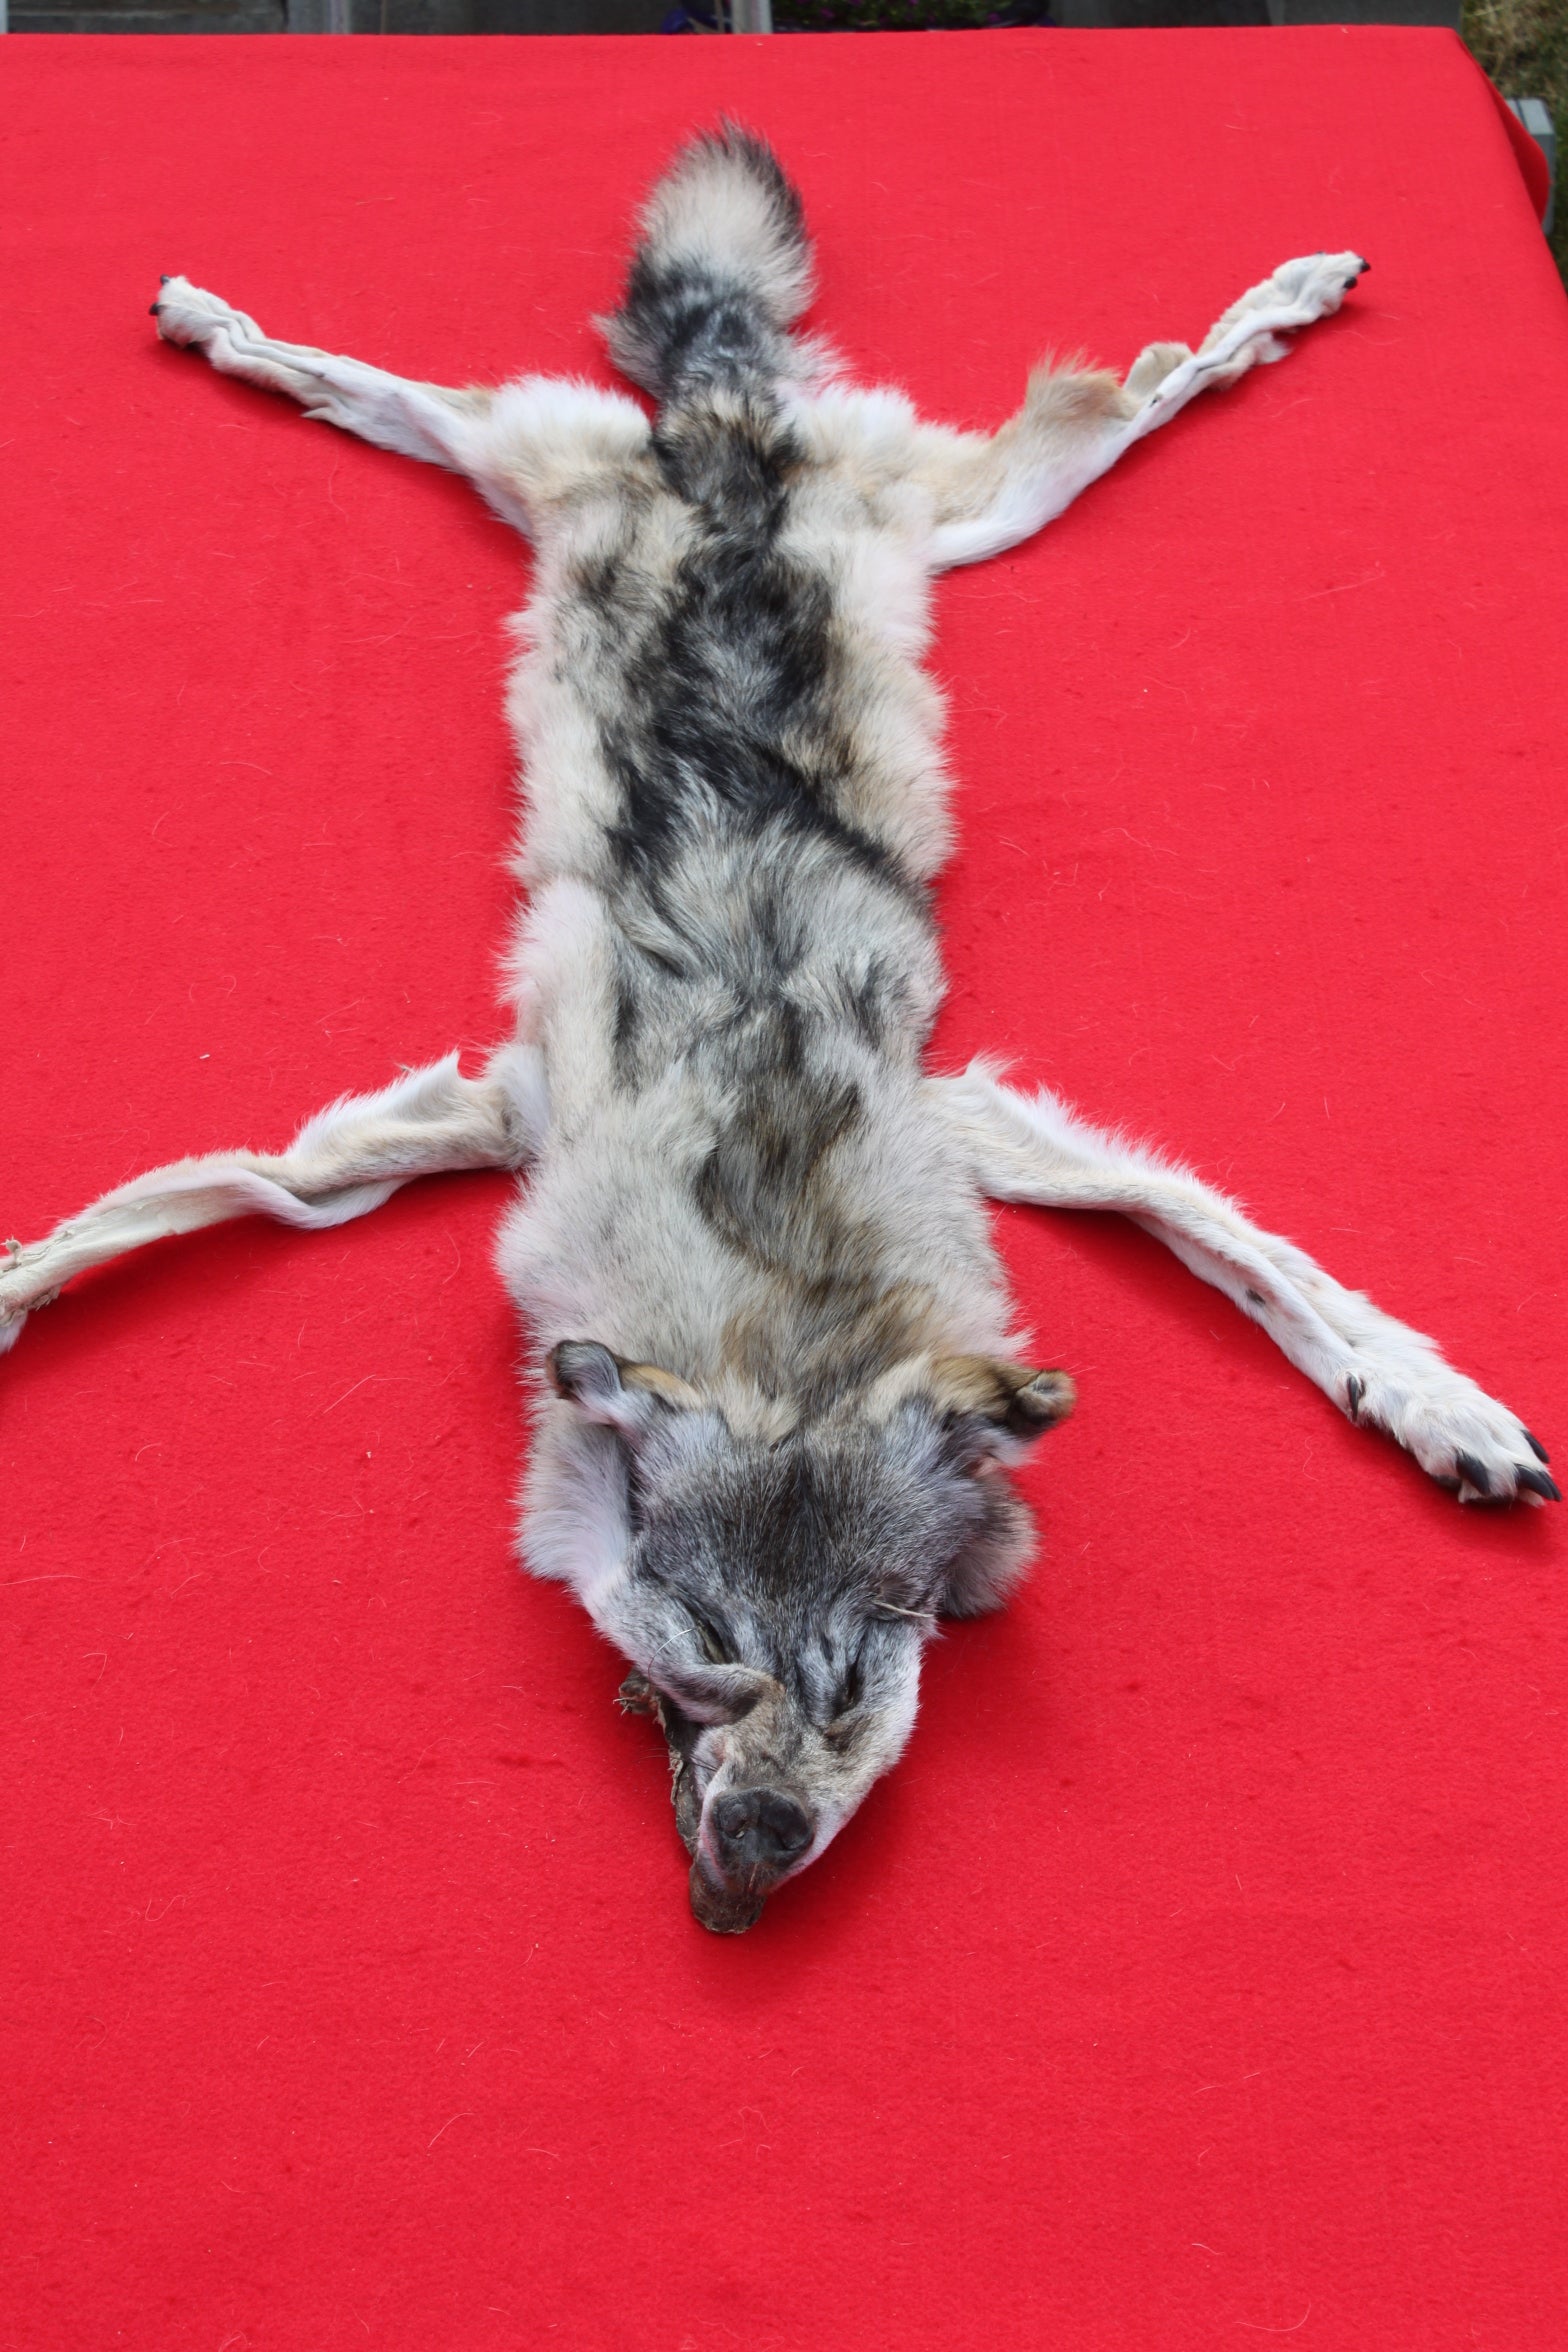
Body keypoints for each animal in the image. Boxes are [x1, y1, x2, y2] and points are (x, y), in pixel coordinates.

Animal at [2, 130, 1554, 1932]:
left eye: (860, 1663)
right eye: (703, 1647)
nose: (752, 1839)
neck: (780, 1256)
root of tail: (727, 426)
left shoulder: (969, 1118)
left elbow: (1259, 1257)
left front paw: (1432, 1402)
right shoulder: (495, 1111)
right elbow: (185, 1198)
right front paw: (12, 1285)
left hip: (953, 511)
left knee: (1142, 385)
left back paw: (1286, 292)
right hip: (546, 465)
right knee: (389, 384)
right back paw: (220, 324)